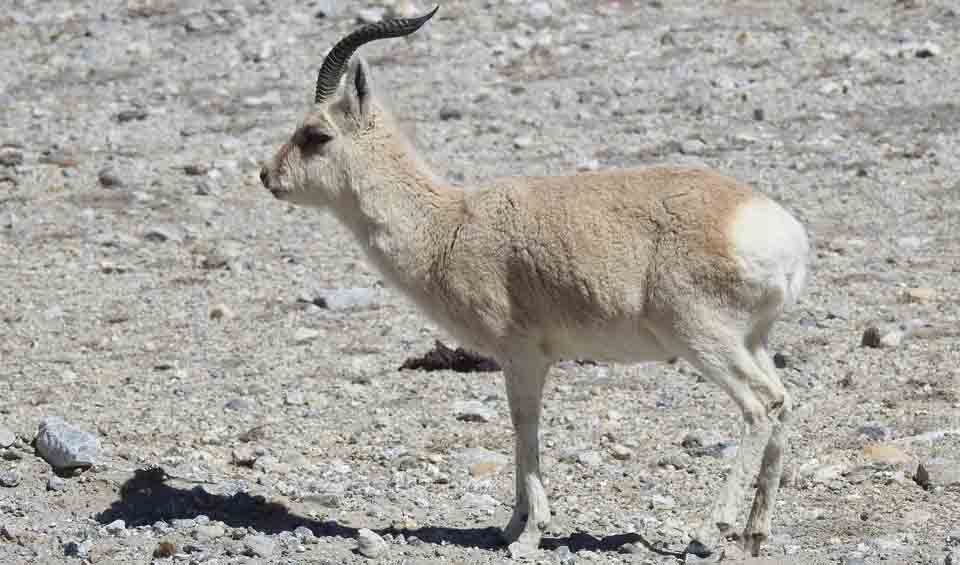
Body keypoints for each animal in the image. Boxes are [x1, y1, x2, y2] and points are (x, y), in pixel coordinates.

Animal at [259, 6, 810, 559]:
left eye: (316, 134)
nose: (266, 175)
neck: (448, 226)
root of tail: (781, 232)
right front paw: (509, 526)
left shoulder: (522, 355)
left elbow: (524, 425)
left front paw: (528, 534)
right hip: (752, 340)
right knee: (784, 403)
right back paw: (755, 535)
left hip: (702, 338)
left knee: (760, 407)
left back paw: (709, 530)